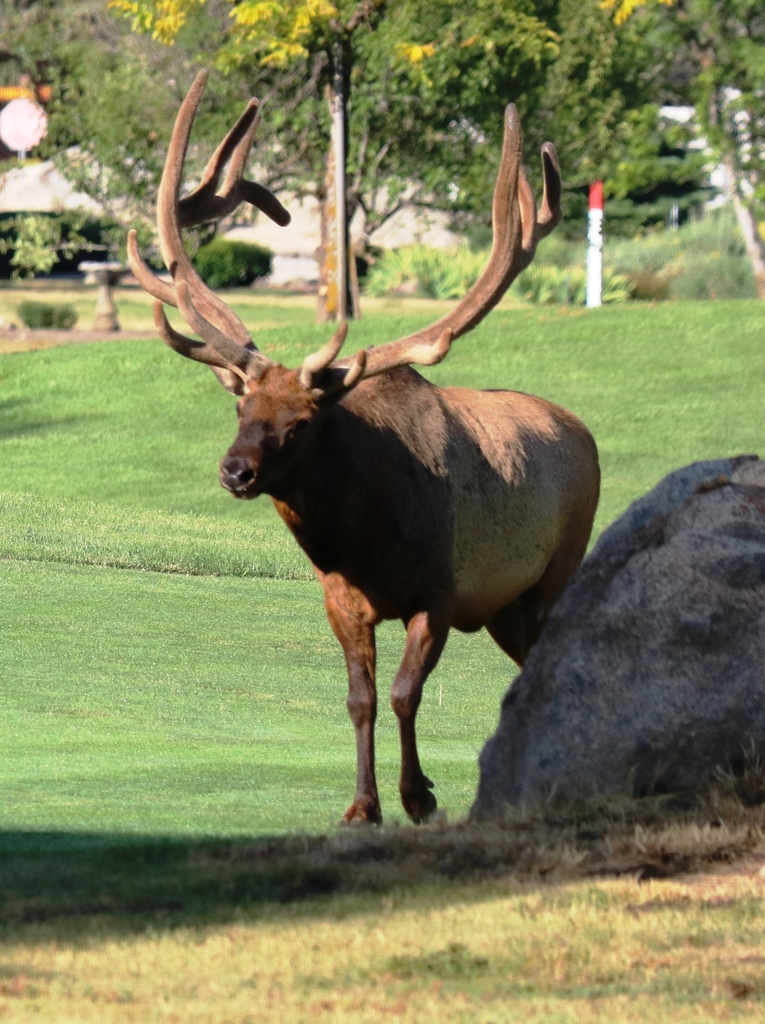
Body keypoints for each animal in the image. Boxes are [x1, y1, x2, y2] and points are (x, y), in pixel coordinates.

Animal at [128, 71, 600, 827]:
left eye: (303, 421)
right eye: (240, 406)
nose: (235, 471)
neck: (363, 540)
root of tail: (581, 430)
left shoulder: (440, 592)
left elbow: (406, 693)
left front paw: (419, 795)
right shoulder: (340, 599)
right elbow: (361, 698)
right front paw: (361, 805)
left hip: (555, 568)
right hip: (506, 608)